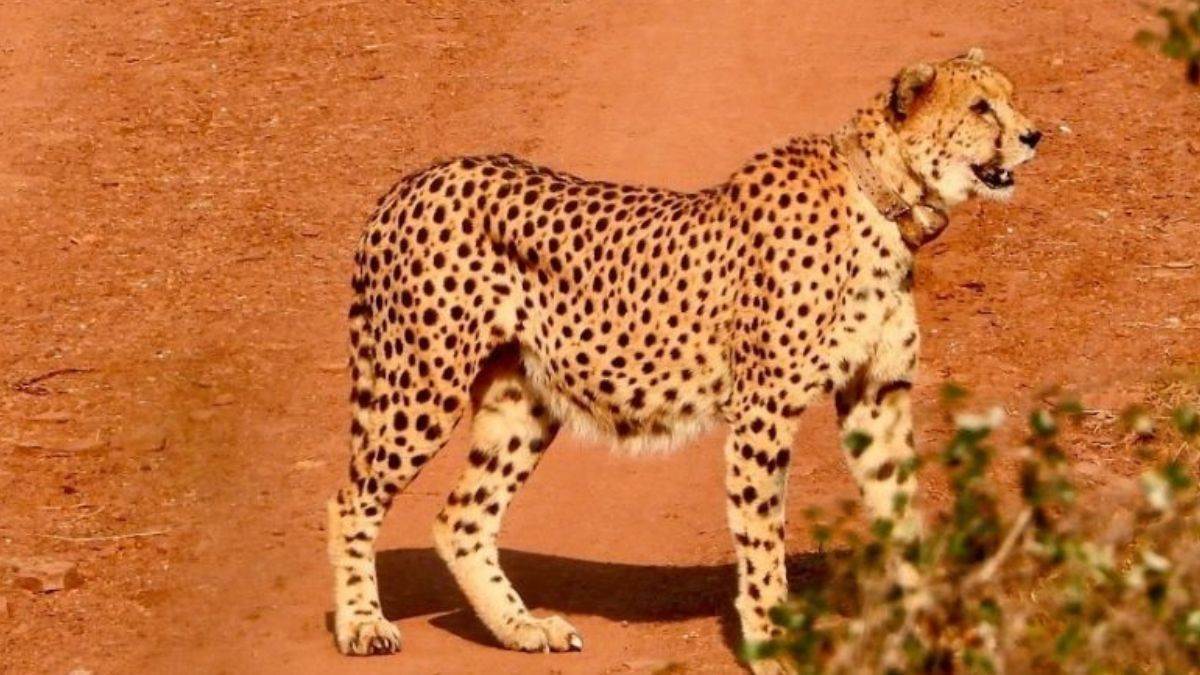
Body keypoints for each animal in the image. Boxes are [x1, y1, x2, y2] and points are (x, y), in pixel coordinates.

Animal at [325, 47, 1040, 671]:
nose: (1033, 135)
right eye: (981, 108)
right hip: (421, 385)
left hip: (521, 400)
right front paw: (771, 642)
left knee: (462, 518)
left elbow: (901, 513)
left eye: (1010, 97)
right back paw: (362, 624)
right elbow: (762, 539)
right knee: (351, 499)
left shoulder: (877, 396)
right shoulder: (764, 411)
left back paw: (523, 627)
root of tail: (415, 180)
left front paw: (931, 622)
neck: (885, 201)